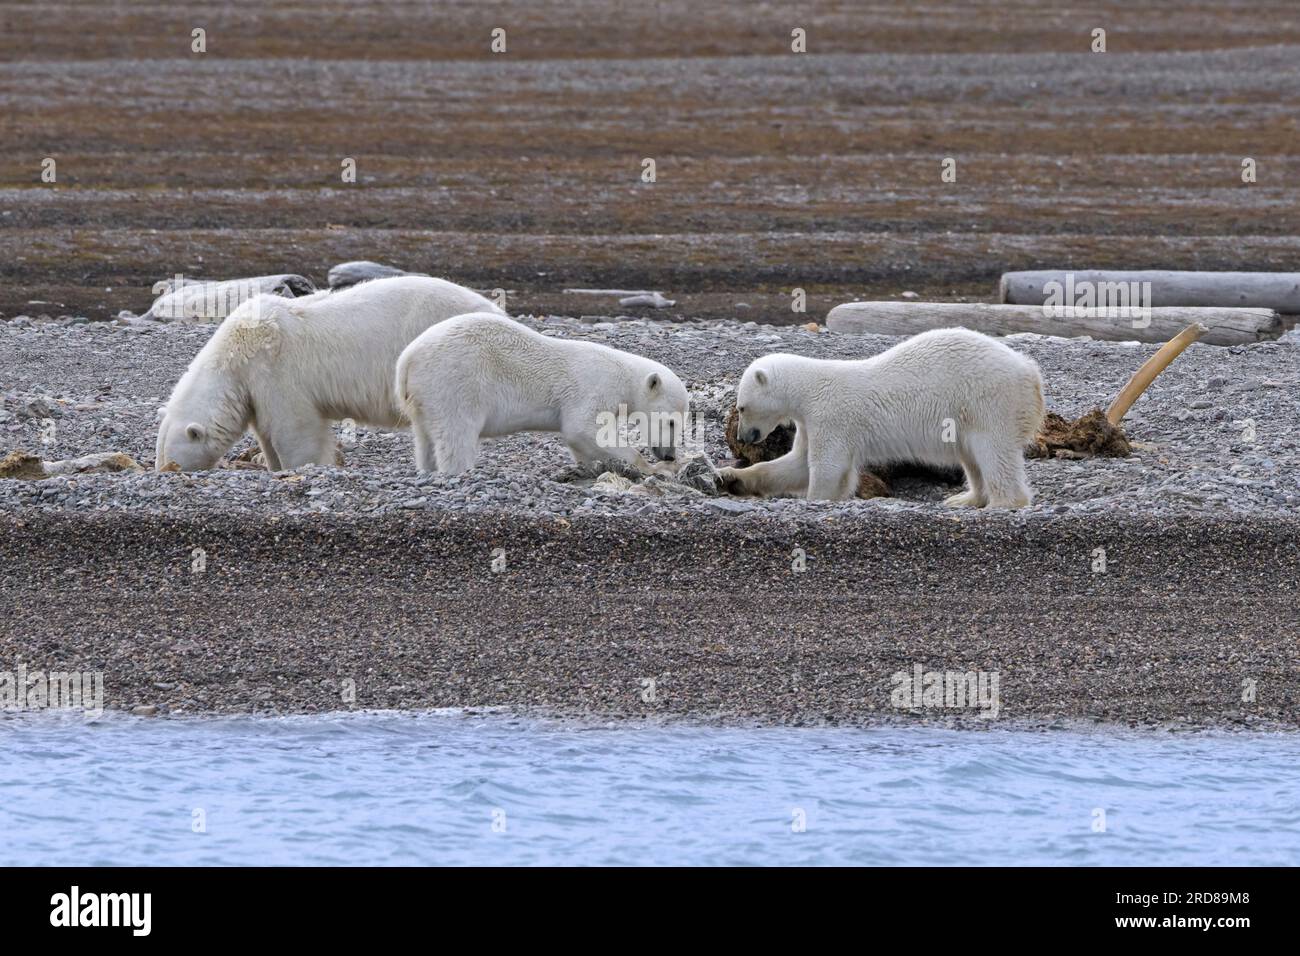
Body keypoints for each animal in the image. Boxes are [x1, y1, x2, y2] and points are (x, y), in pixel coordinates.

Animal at [156, 276, 502, 471]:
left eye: (172, 460)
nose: (164, 471)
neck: (235, 353)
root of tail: (497, 311)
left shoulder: (275, 371)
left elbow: (295, 430)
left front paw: (302, 467)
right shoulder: (253, 390)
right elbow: (266, 433)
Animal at [394, 312, 690, 474]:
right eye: (671, 422)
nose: (669, 455)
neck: (622, 373)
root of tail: (407, 359)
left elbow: (582, 443)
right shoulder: (595, 387)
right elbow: (582, 428)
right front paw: (652, 468)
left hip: (424, 397)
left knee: (425, 438)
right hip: (456, 380)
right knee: (458, 432)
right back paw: (462, 470)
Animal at [718, 327, 1045, 507]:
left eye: (741, 407)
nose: (743, 436)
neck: (810, 387)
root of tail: (1029, 371)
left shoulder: (831, 415)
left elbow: (826, 465)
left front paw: (817, 498)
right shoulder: (809, 423)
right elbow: (795, 464)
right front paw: (732, 477)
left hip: (988, 401)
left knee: (992, 451)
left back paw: (1002, 503)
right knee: (972, 457)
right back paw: (965, 498)